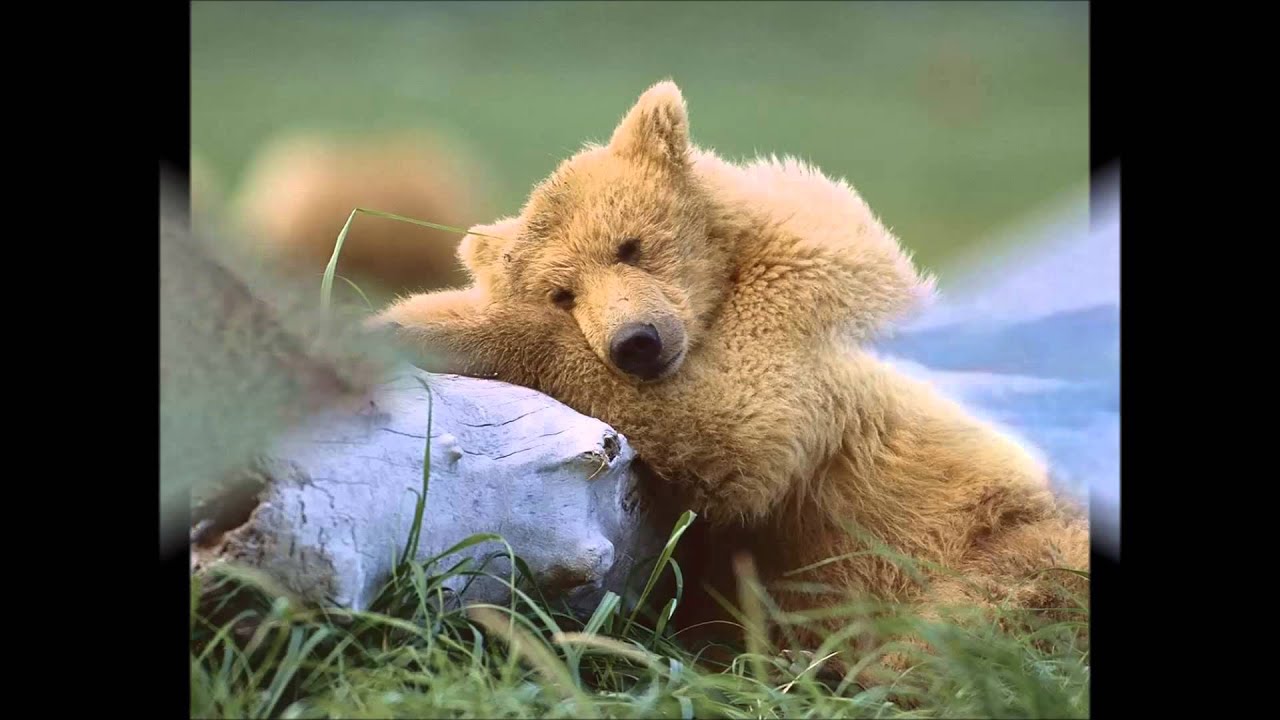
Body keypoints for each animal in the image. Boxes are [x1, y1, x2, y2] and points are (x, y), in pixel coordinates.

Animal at [370, 80, 1090, 684]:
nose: (637, 344)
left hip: (1000, 530)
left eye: (630, 245)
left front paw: (418, 320)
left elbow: (737, 425)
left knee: (993, 607)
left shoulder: (811, 295)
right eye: (562, 291)